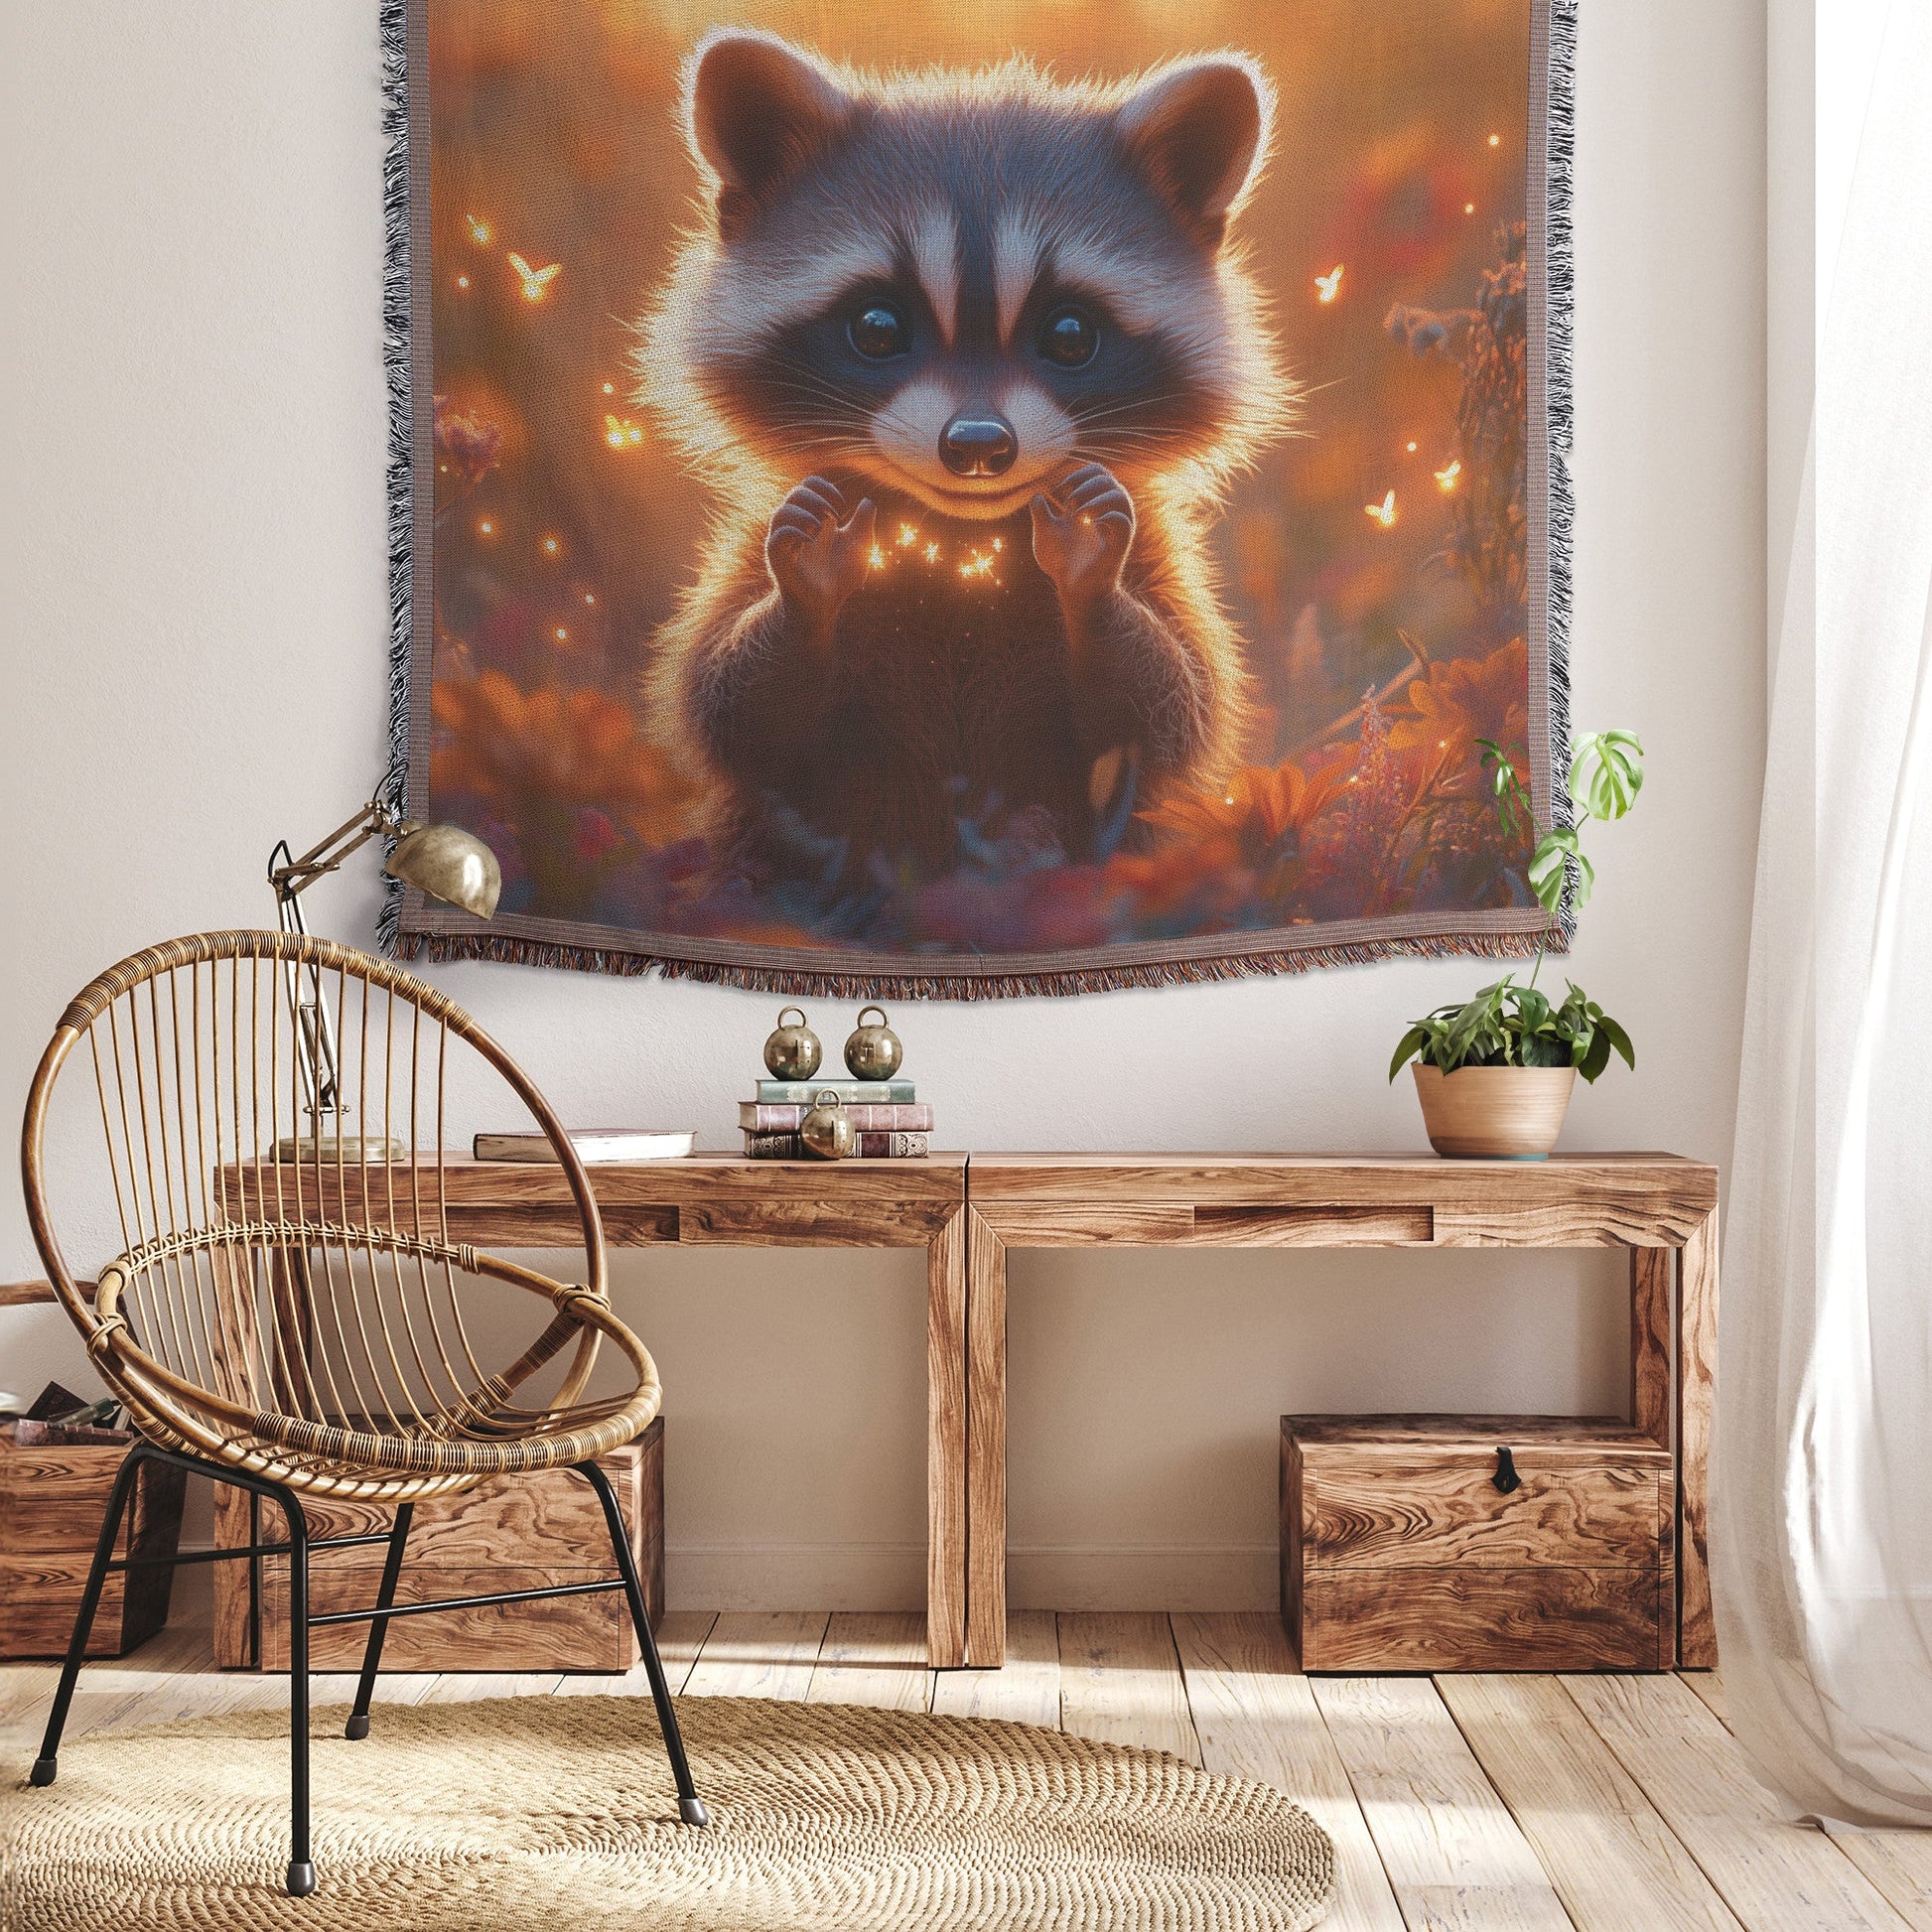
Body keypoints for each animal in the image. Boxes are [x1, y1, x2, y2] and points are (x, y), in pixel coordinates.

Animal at [638, 31, 1292, 891]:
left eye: (1070, 335)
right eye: (877, 327)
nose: (978, 446)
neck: (961, 540)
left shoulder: (1158, 558)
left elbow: (1173, 704)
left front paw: (1094, 577)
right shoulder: (763, 545)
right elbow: (731, 710)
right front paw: (805, 590)